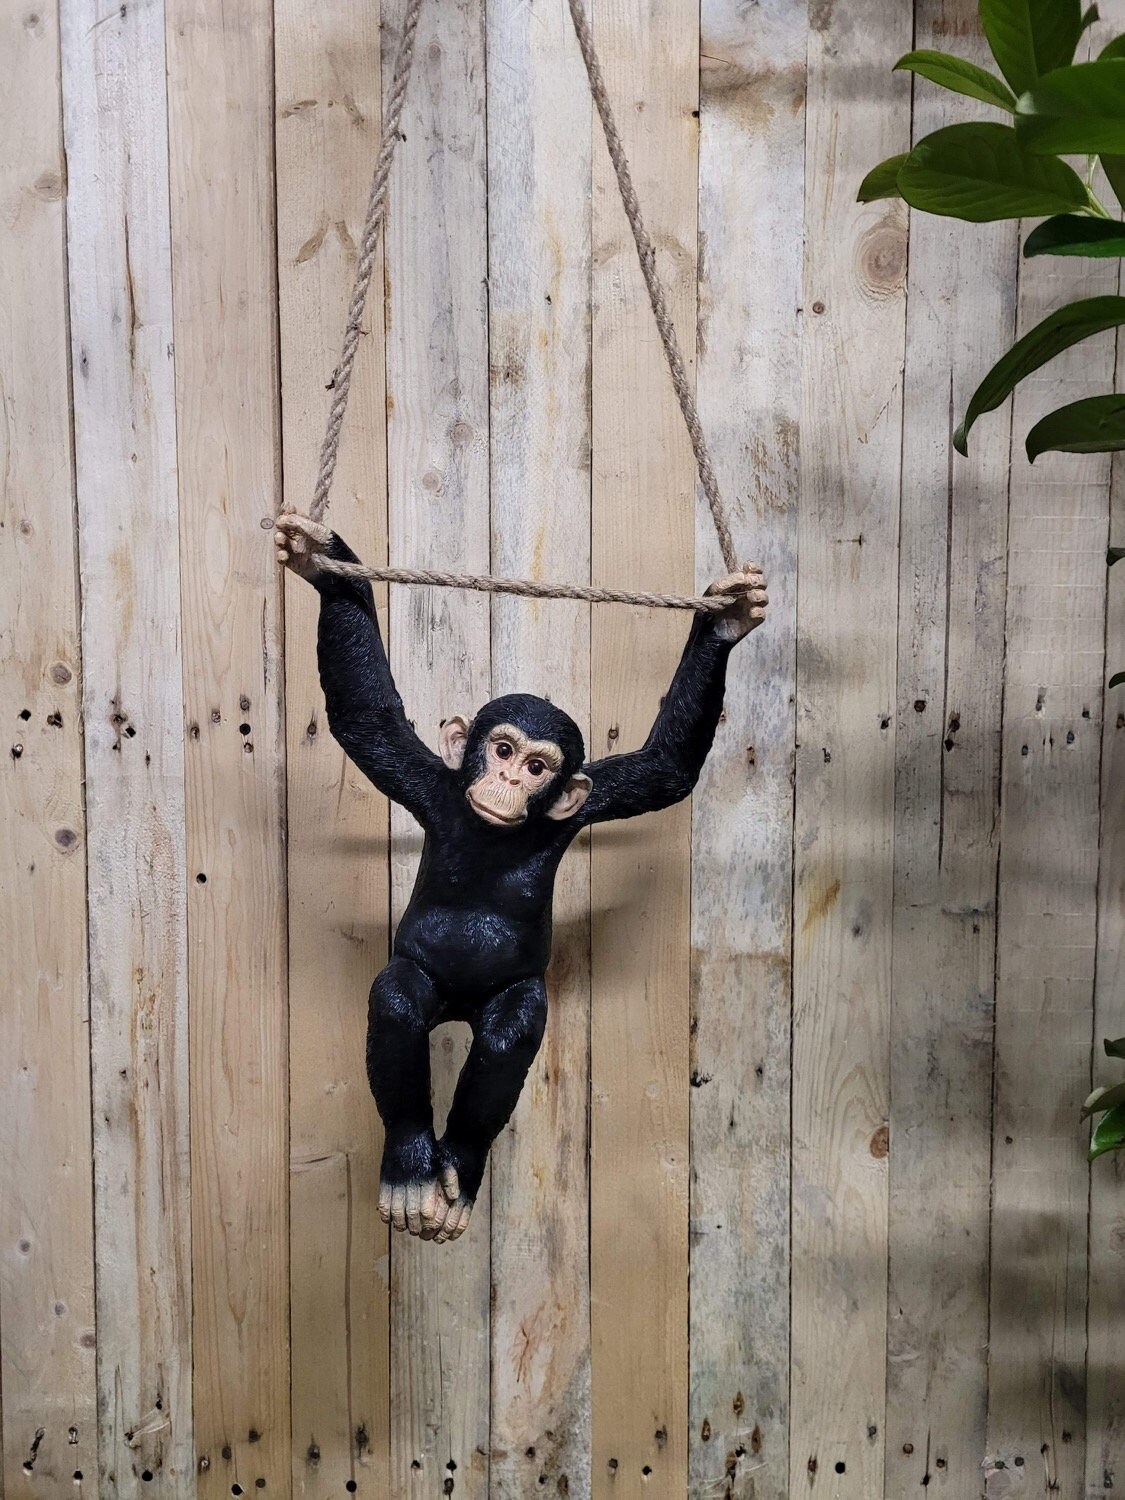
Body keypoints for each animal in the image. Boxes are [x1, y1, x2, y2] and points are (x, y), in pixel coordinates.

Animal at [276, 513, 767, 1242]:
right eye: (502, 748)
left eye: (538, 768)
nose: (507, 779)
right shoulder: (425, 782)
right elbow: (365, 718)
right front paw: (318, 554)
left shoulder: (584, 806)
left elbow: (666, 767)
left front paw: (727, 620)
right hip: (429, 990)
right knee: (398, 1000)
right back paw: (411, 1166)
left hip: (503, 999)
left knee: (511, 1028)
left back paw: (458, 1161)